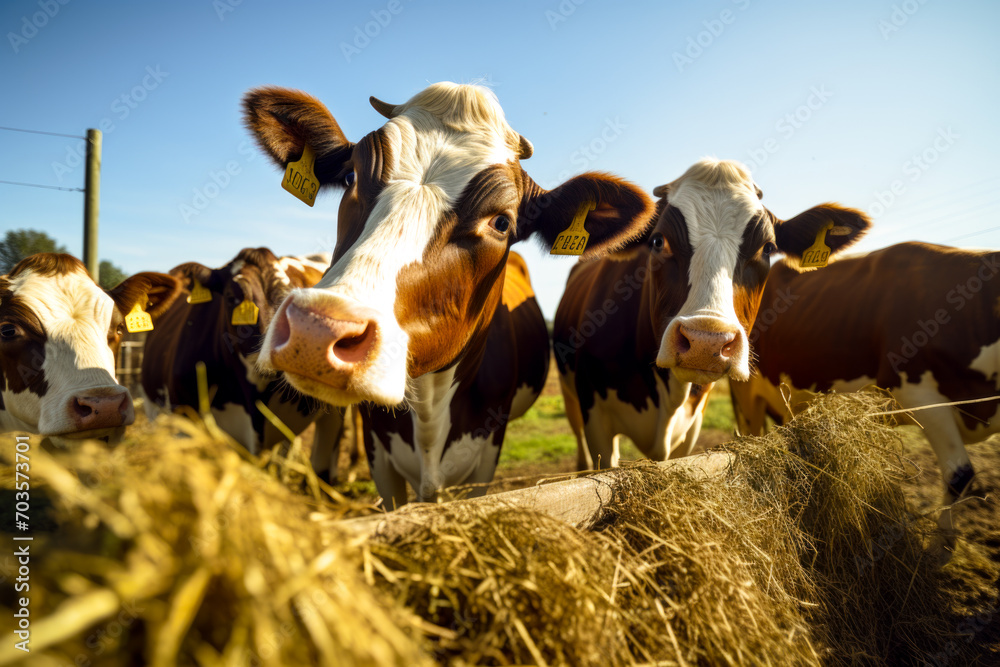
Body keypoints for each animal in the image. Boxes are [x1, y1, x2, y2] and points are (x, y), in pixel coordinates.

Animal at [242, 82, 653, 507]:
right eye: (351, 176)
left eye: (501, 222)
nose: (317, 328)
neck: (429, 413)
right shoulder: (381, 456)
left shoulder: (485, 457)